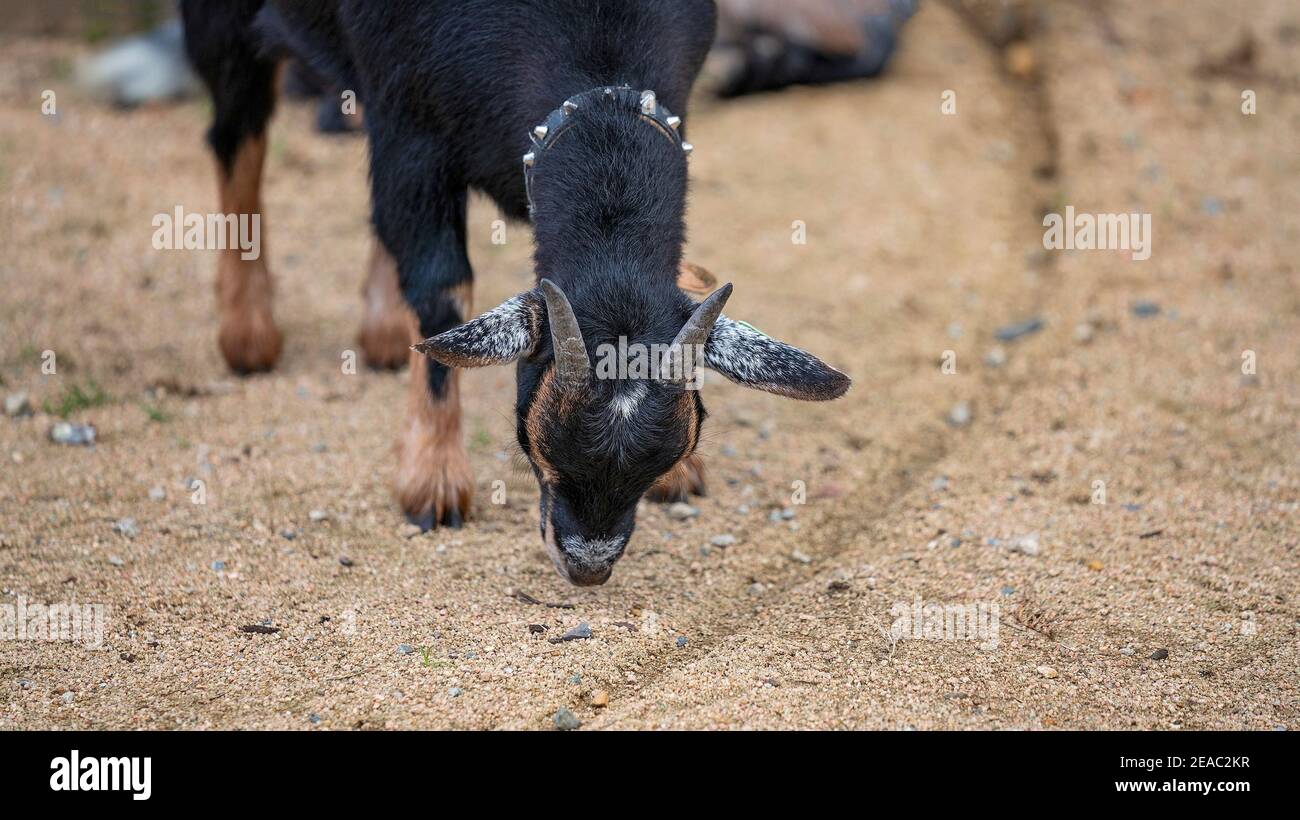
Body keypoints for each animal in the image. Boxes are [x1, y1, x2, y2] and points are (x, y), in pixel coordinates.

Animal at [180, 0, 850, 586]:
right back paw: (247, 334)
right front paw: (432, 481)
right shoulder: (410, 128)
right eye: (540, 448)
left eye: (664, 456)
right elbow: (441, 285)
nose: (587, 570)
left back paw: (382, 329)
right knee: (236, 138)